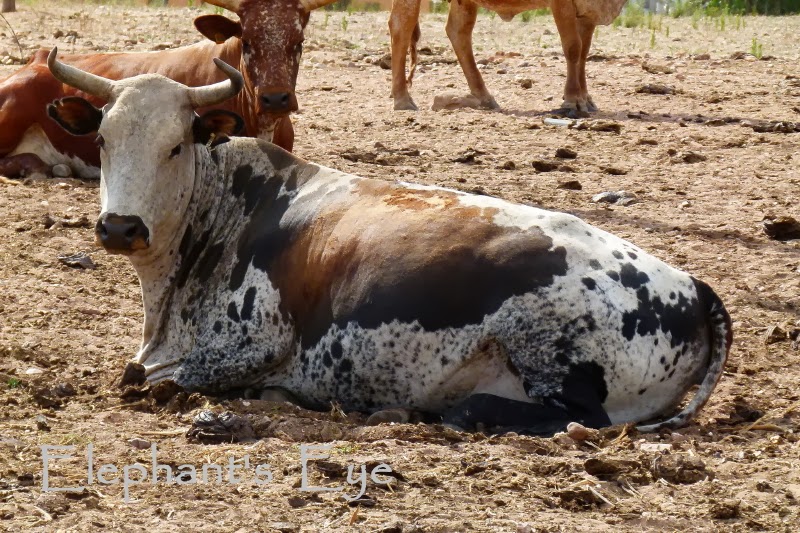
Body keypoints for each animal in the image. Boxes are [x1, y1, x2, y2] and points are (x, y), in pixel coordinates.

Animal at [47, 49, 731, 435]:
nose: (120, 227)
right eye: (103, 139)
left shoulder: (252, 346)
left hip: (546, 347)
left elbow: (152, 379)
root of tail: (691, 286)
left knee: (578, 417)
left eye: (175, 145)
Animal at [389, 0, 627, 114]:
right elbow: (573, 48)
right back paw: (402, 98)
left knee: (458, 32)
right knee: (401, 25)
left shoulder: (588, 12)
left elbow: (584, 53)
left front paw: (586, 98)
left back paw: (484, 96)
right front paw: (573, 99)